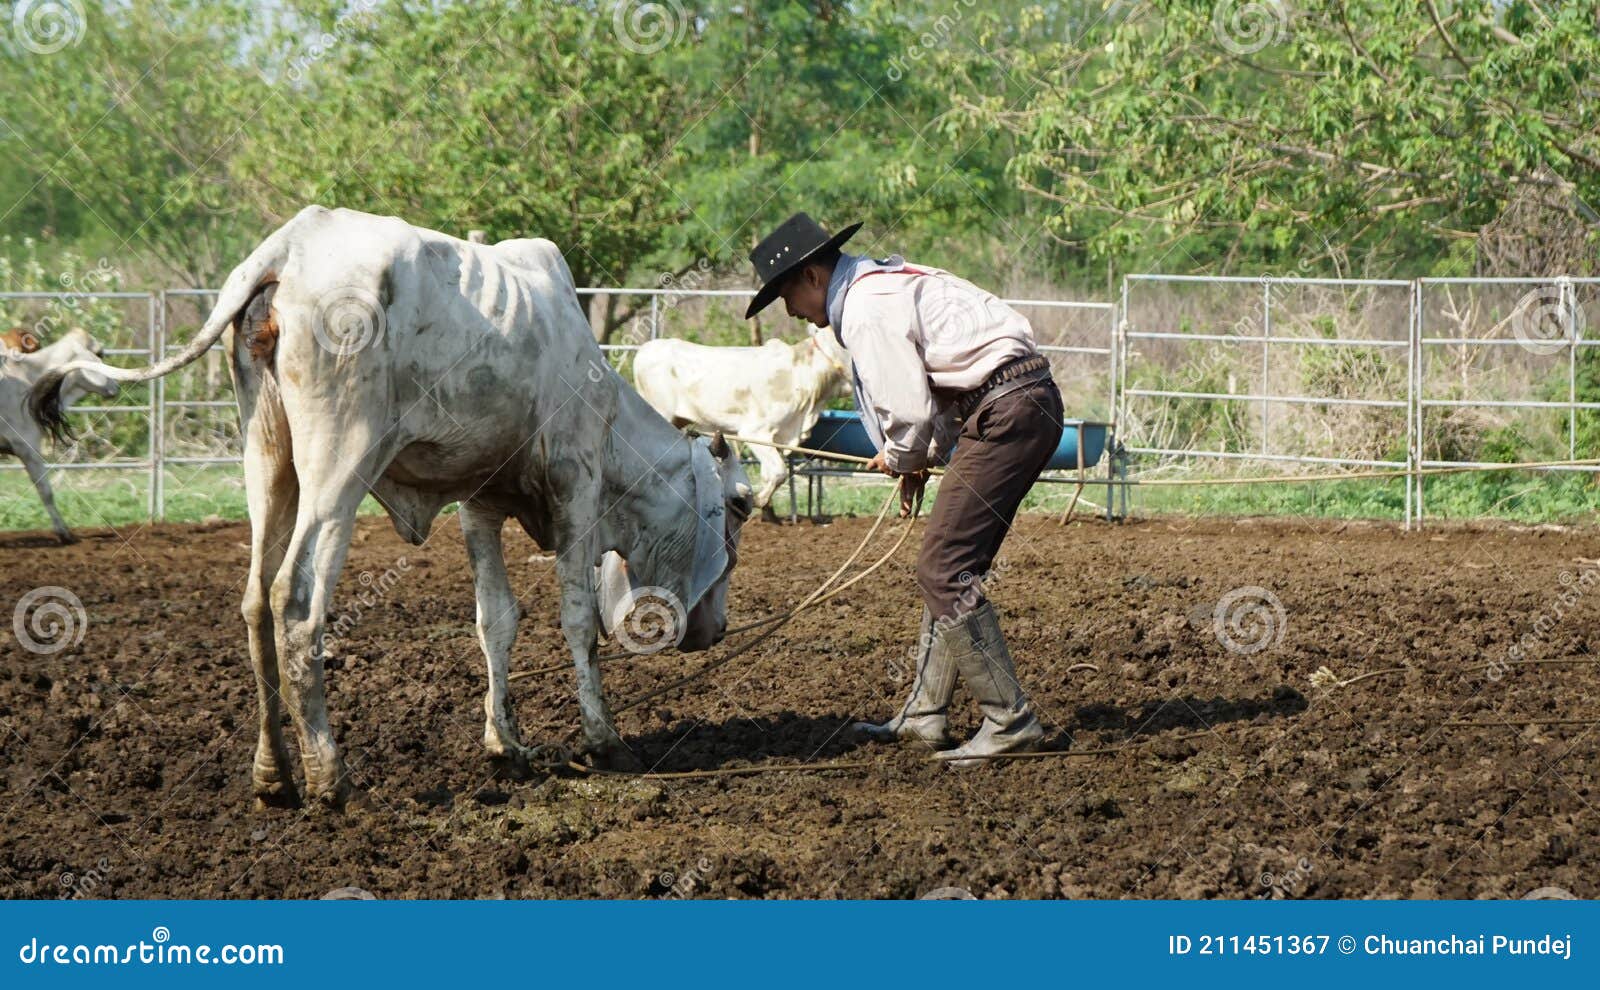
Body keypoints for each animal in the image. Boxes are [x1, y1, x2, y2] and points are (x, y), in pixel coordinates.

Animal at [29, 206, 753, 809]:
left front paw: (506, 745)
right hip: (339, 463)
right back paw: (329, 776)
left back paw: (274, 776)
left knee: (255, 599)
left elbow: (496, 620)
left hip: (267, 455)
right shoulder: (576, 482)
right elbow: (577, 622)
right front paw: (603, 741)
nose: (716, 629)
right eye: (741, 504)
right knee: (296, 600)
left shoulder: (479, 503)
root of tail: (289, 247)